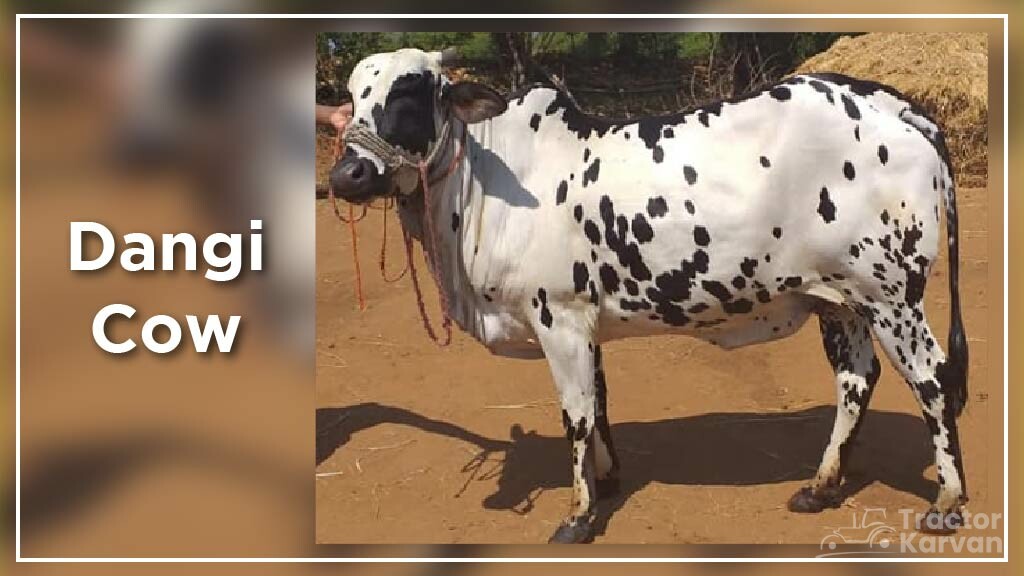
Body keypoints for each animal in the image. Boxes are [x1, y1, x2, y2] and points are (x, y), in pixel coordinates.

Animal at [329, 48, 969, 544]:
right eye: (354, 101)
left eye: (410, 96)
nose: (346, 176)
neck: (492, 179)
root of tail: (888, 102)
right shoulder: (585, 323)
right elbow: (600, 404)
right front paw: (608, 479)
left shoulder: (558, 317)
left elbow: (576, 415)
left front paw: (579, 516)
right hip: (840, 299)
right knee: (856, 380)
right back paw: (821, 486)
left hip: (892, 298)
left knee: (933, 381)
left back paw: (947, 501)